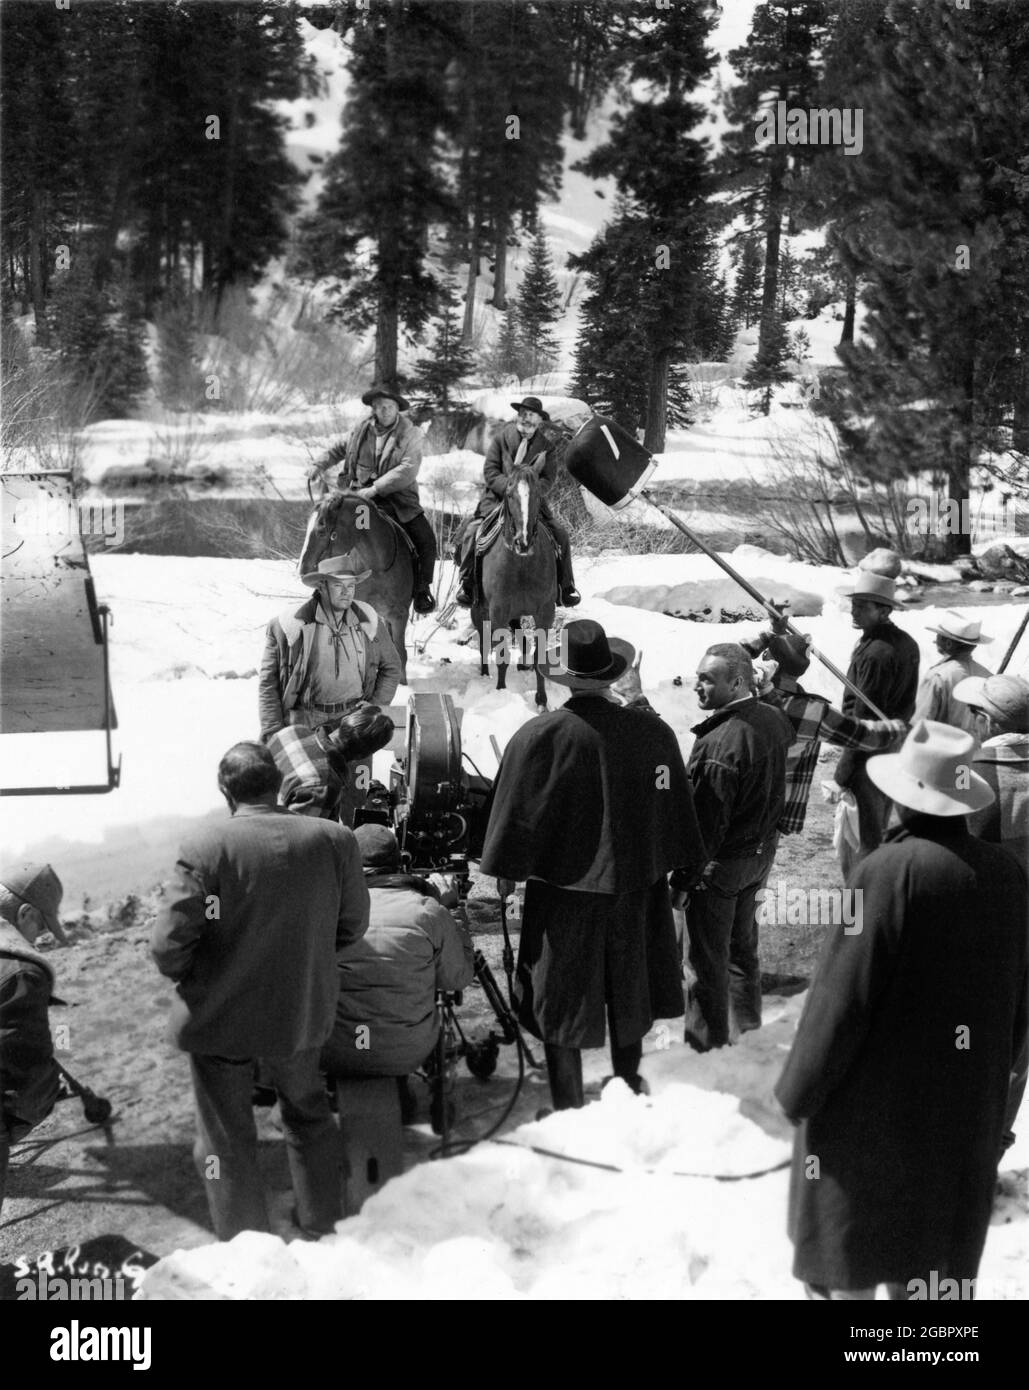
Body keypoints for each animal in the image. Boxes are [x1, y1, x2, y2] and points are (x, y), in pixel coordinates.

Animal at [472, 461, 558, 711]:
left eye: (538, 495)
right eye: (509, 495)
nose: (523, 541)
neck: (522, 565)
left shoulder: (545, 612)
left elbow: (539, 658)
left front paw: (541, 700)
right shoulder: (498, 611)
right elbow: (500, 657)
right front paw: (501, 693)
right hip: (478, 610)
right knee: (484, 642)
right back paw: (484, 675)